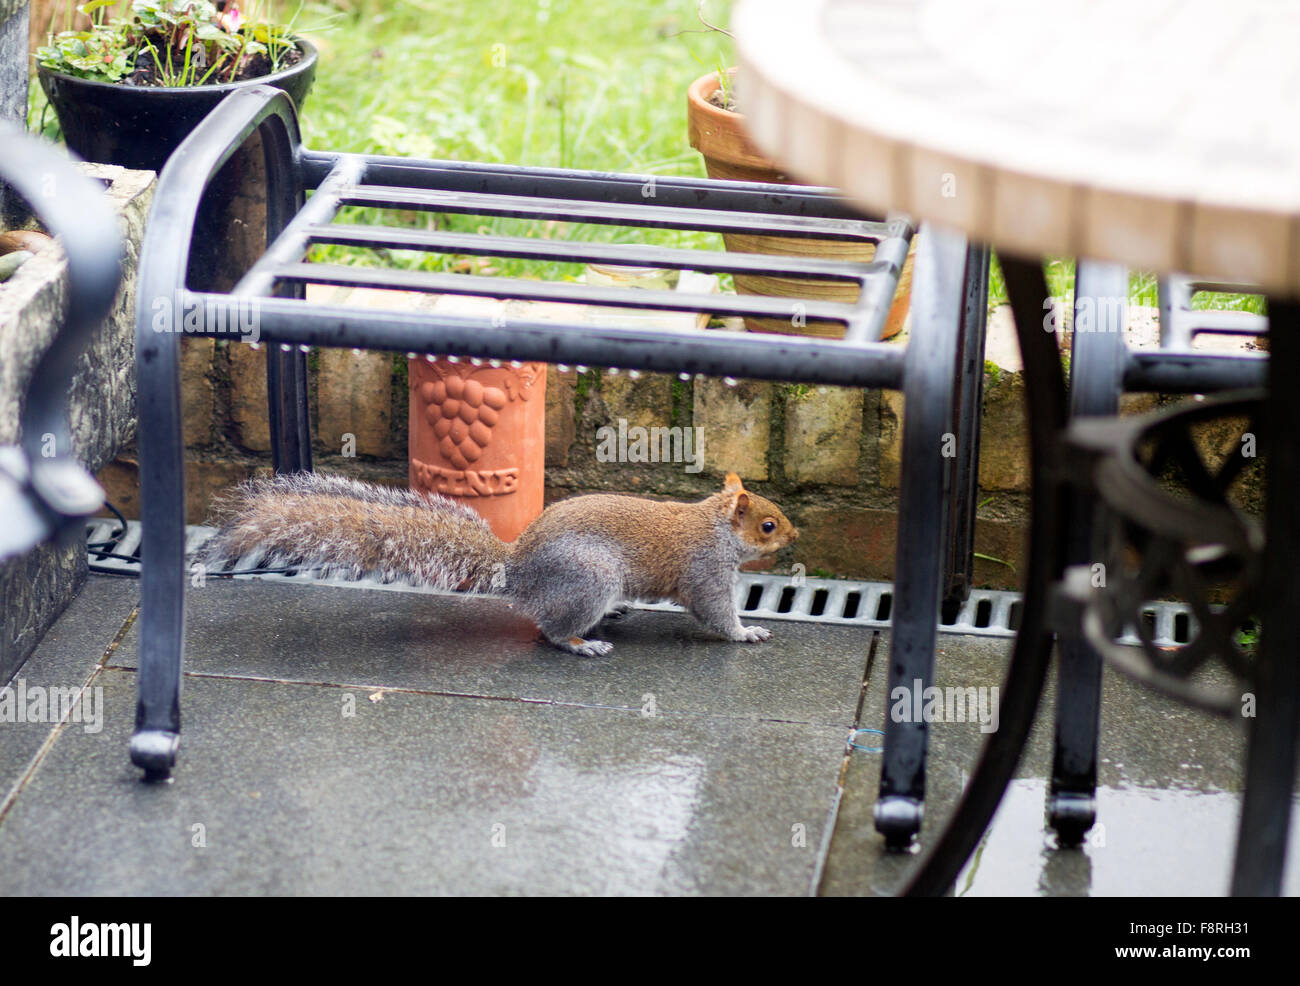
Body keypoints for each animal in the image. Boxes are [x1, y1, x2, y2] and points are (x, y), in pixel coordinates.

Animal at [199, 471, 799, 657]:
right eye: (768, 525)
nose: (796, 535)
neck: (715, 524)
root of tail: (519, 570)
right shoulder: (705, 571)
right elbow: (716, 612)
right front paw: (747, 632)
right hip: (590, 579)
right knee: (551, 629)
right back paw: (581, 642)